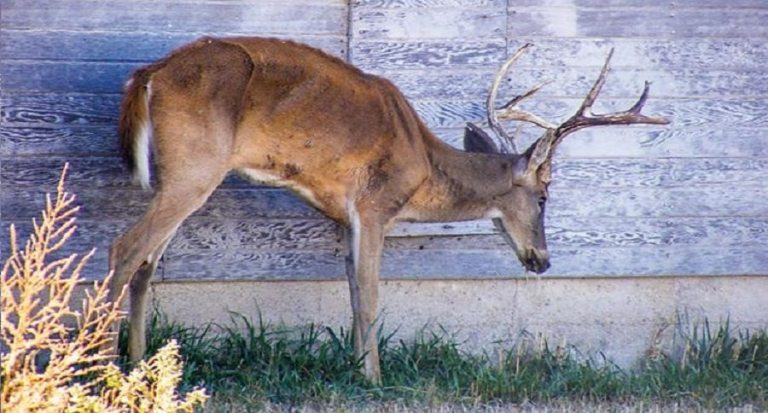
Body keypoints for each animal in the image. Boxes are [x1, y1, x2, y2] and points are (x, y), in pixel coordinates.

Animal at [109, 36, 668, 383]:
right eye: (545, 196)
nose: (543, 260)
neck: (422, 164)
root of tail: (148, 75)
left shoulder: (344, 217)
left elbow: (354, 293)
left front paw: (356, 369)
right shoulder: (376, 204)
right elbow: (373, 296)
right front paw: (375, 378)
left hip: (181, 173)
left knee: (146, 262)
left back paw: (140, 363)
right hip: (196, 165)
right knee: (125, 248)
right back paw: (101, 363)